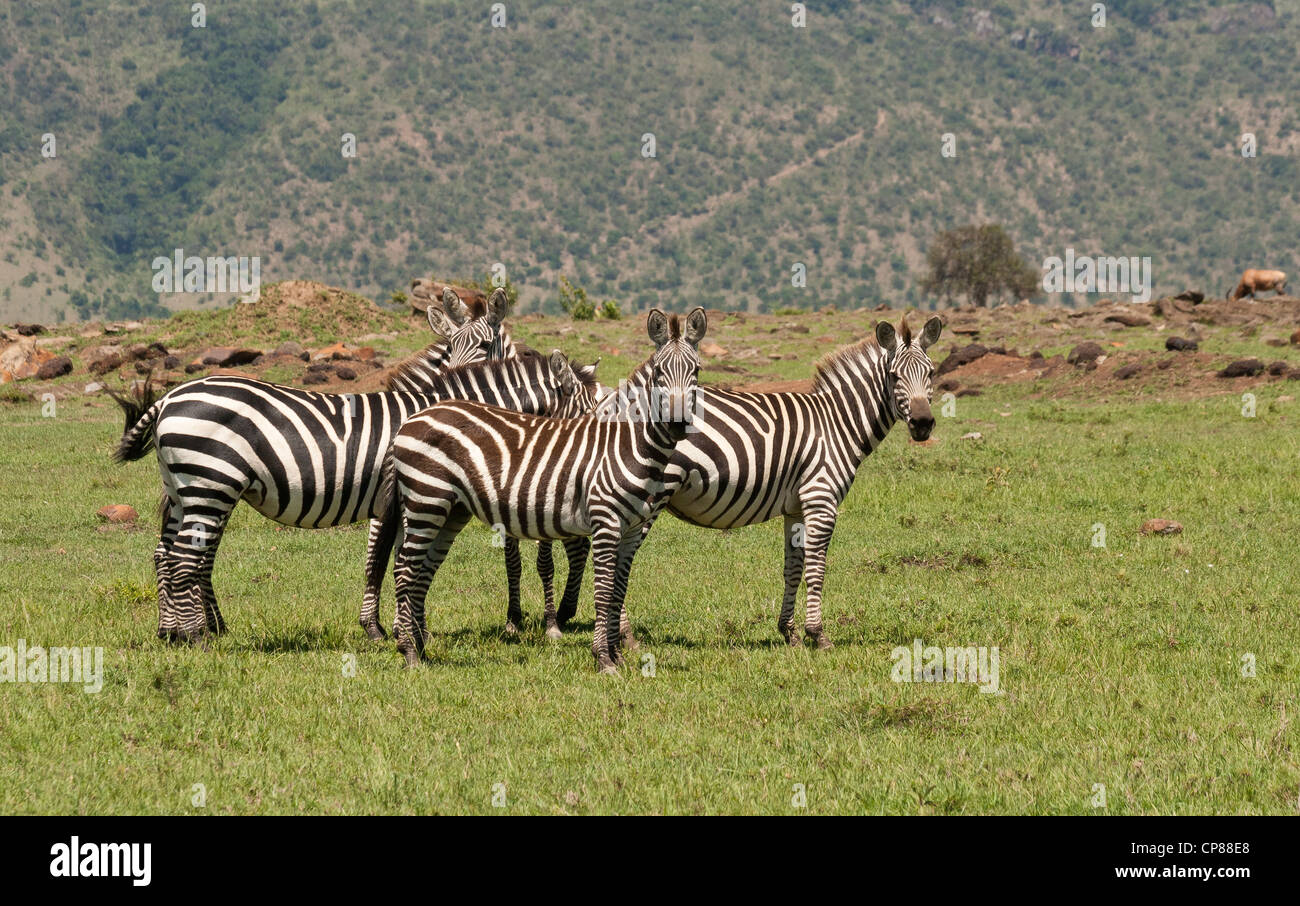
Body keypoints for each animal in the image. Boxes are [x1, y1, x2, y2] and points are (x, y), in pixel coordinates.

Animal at [108, 349, 601, 644]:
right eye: (588, 414)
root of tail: (169, 397)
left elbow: (384, 562)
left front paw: (384, 627)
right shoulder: (404, 496)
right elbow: (390, 560)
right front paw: (393, 630)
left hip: (185, 487)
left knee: (166, 554)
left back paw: (171, 631)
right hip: (210, 482)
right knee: (183, 560)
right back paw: (198, 637)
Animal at [374, 307, 707, 673]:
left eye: (696, 371)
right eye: (660, 373)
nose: (677, 423)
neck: (628, 444)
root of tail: (411, 419)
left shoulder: (631, 529)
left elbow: (619, 589)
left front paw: (617, 654)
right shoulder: (606, 523)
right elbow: (604, 592)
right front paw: (604, 658)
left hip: (449, 510)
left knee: (422, 570)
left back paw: (420, 647)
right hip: (426, 500)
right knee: (405, 571)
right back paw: (409, 651)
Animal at [555, 315, 943, 651]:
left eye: (931, 373)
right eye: (894, 376)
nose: (923, 424)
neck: (836, 423)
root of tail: (611, 401)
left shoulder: (795, 508)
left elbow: (793, 568)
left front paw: (789, 632)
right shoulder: (821, 498)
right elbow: (817, 569)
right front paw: (817, 634)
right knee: (617, 559)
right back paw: (626, 637)